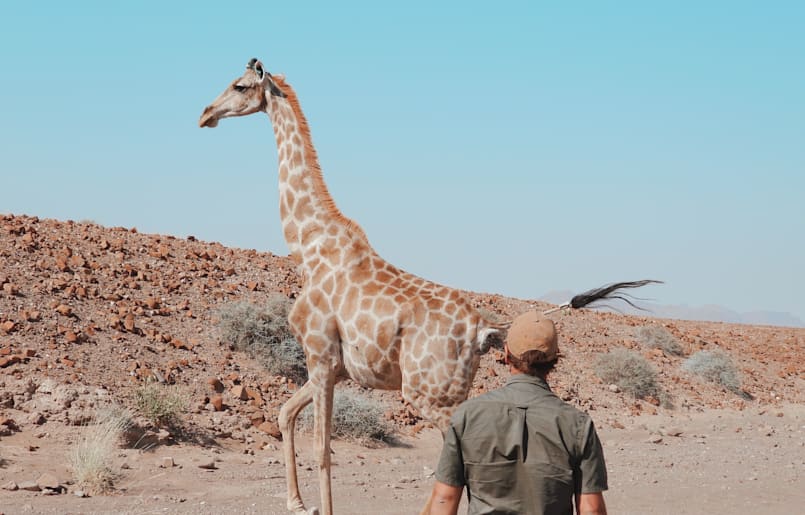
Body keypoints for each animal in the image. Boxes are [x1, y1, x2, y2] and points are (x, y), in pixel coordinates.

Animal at [199, 58, 504, 515]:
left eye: (239, 85)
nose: (205, 114)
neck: (307, 250)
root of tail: (481, 331)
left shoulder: (320, 355)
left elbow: (323, 450)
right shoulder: (334, 366)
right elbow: (285, 412)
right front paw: (296, 502)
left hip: (429, 393)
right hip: (452, 389)